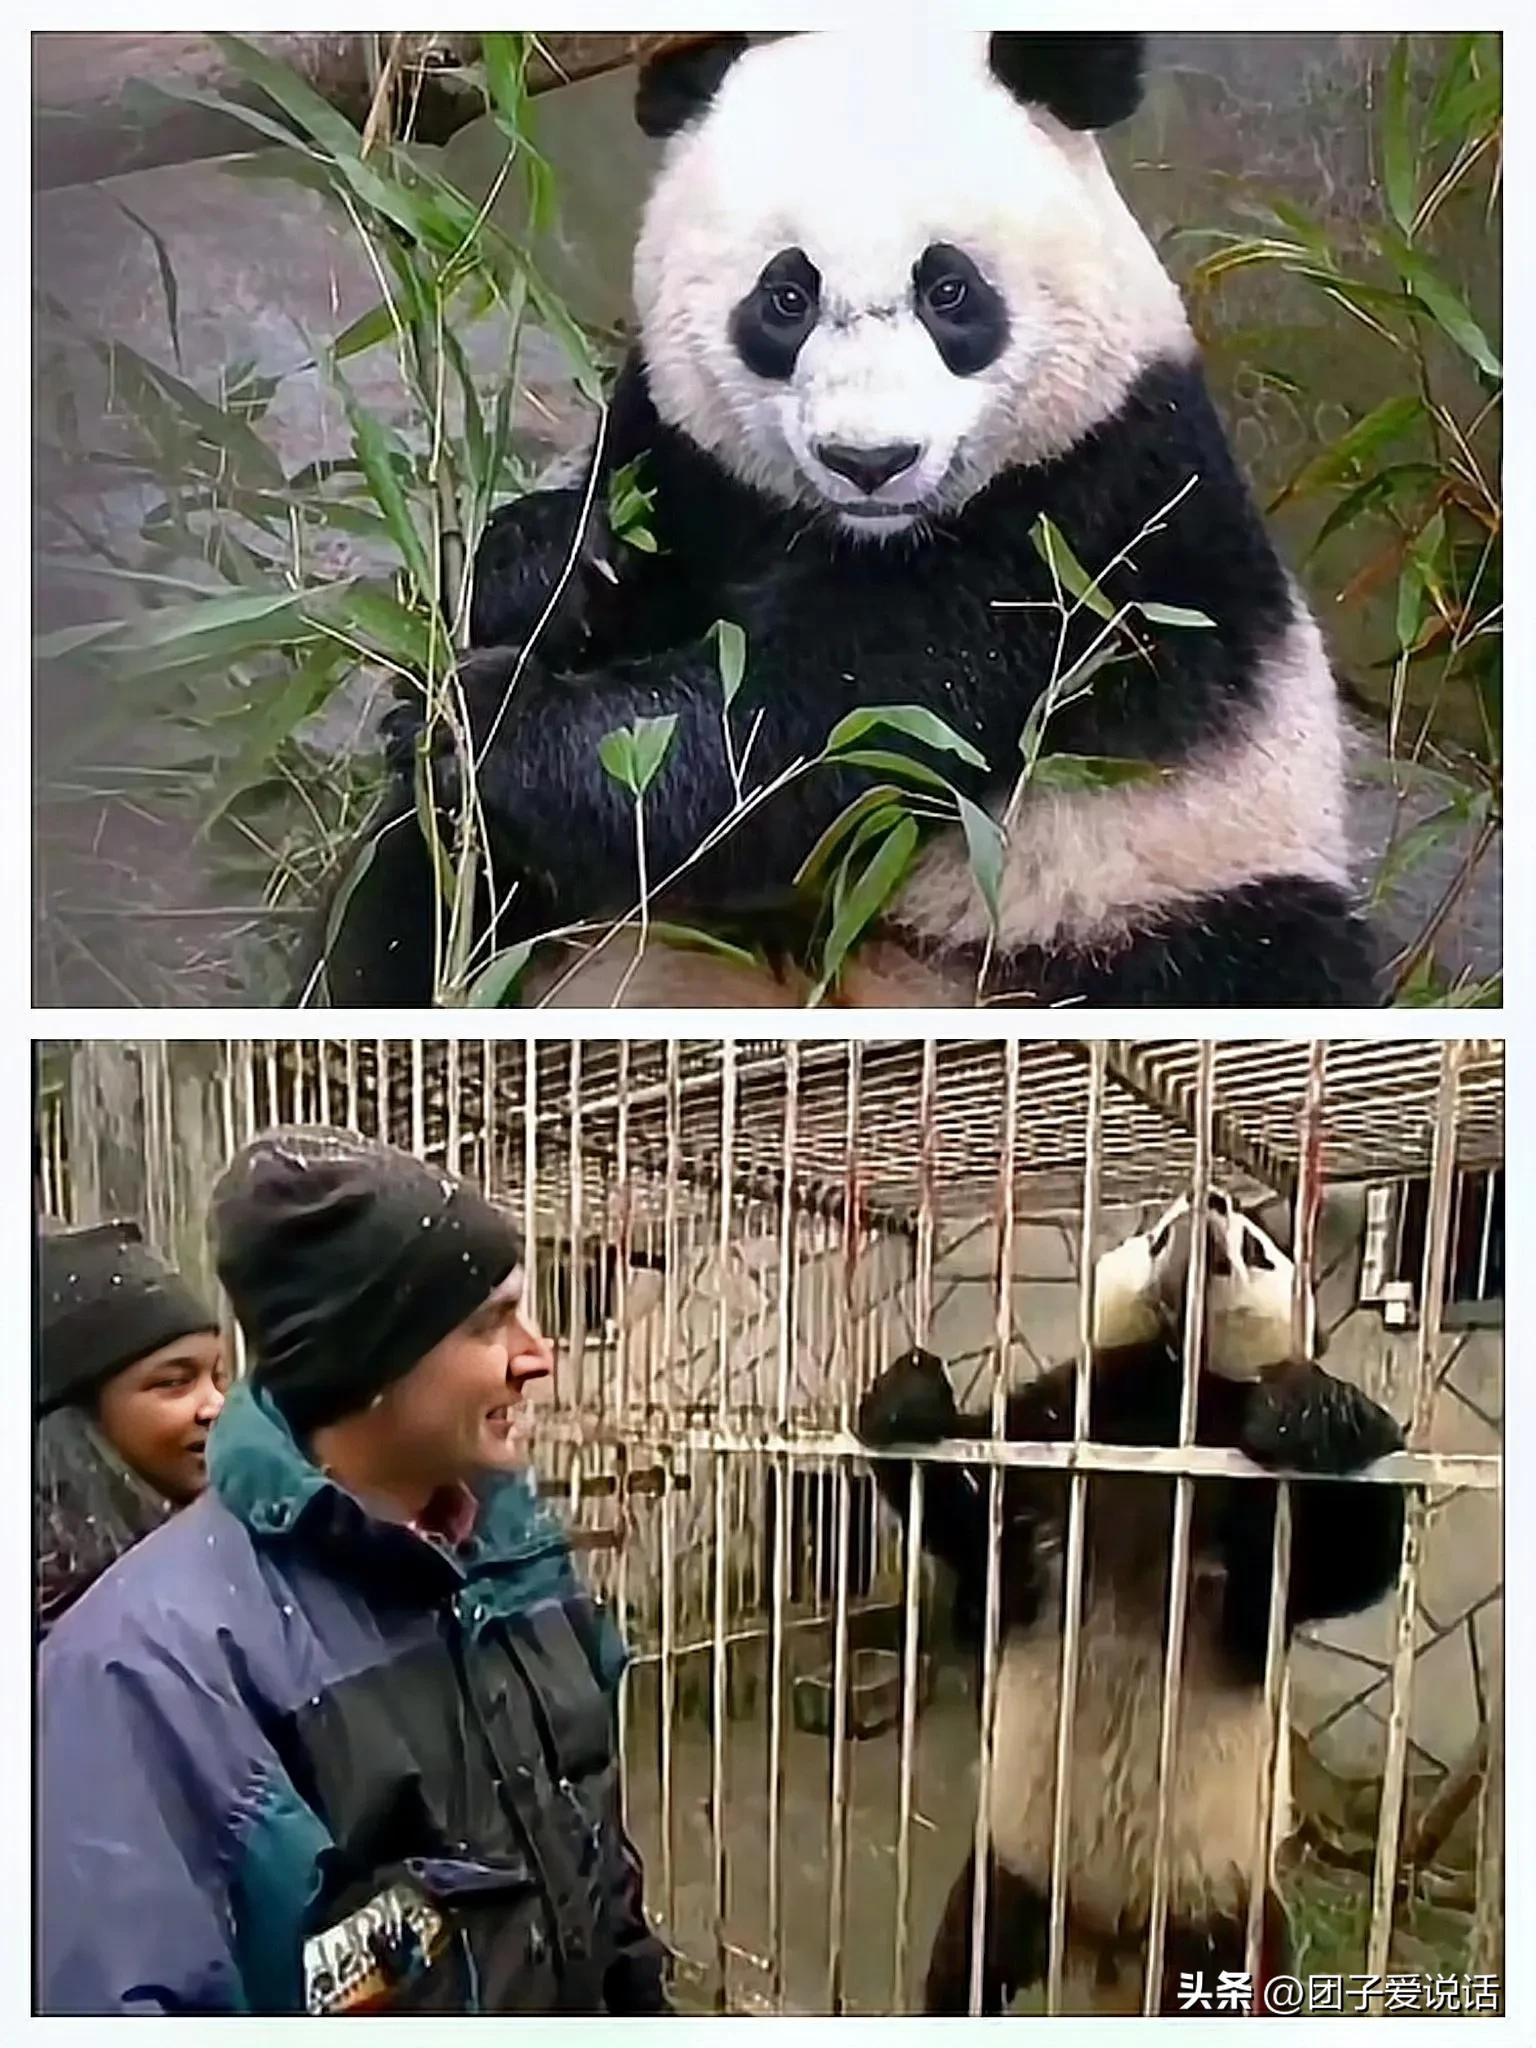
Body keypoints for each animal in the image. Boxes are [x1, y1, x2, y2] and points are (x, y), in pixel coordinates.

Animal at [313, 30, 1378, 1009]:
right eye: (786, 295)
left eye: (949, 290)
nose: (871, 462)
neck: (855, 532)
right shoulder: (691, 471)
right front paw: (549, 572)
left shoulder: (1075, 528)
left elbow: (807, 740)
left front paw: (486, 721)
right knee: (416, 897)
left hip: (1172, 890)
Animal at [854, 1190, 1405, 2015]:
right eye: (1156, 1228)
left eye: (1257, 1248)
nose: (1211, 1200)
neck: (1164, 1392)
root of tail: (1103, 1939)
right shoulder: (1056, 1434)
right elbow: (975, 1527)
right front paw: (908, 1402)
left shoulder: (1244, 1495)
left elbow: (1348, 1557)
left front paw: (1319, 1413)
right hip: (1009, 1871)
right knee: (963, 1965)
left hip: (1228, 1914)